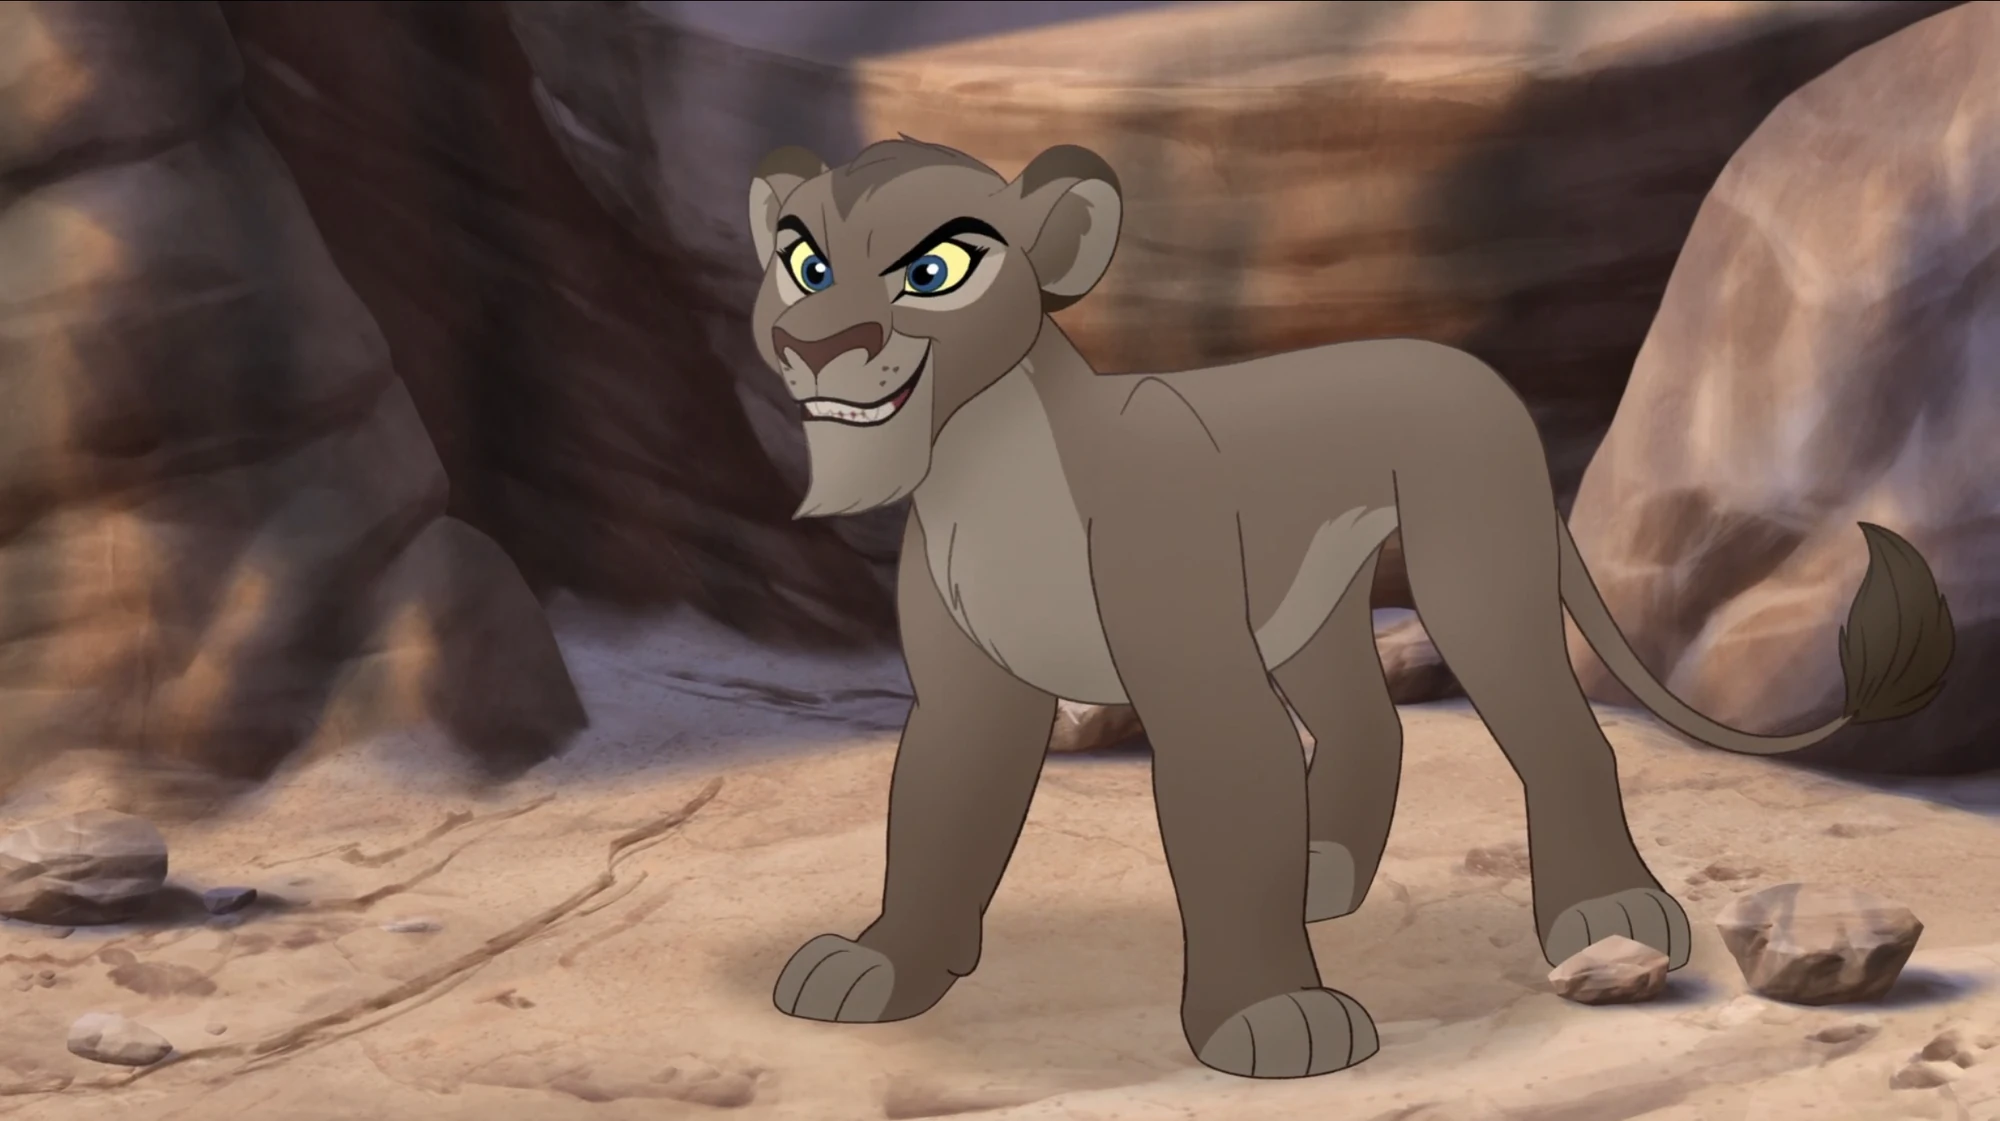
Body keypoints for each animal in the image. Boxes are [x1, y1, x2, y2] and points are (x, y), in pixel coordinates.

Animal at [743, 137, 1956, 1079]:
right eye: (802, 261)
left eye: (936, 267)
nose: (815, 342)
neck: (979, 461)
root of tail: (1474, 369)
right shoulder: (969, 694)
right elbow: (934, 816)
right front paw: (882, 964)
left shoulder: (1200, 676)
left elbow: (1225, 811)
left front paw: (1267, 1017)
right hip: (1315, 612)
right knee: (1370, 725)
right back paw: (1320, 873)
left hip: (1477, 574)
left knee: (1565, 737)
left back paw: (1603, 911)